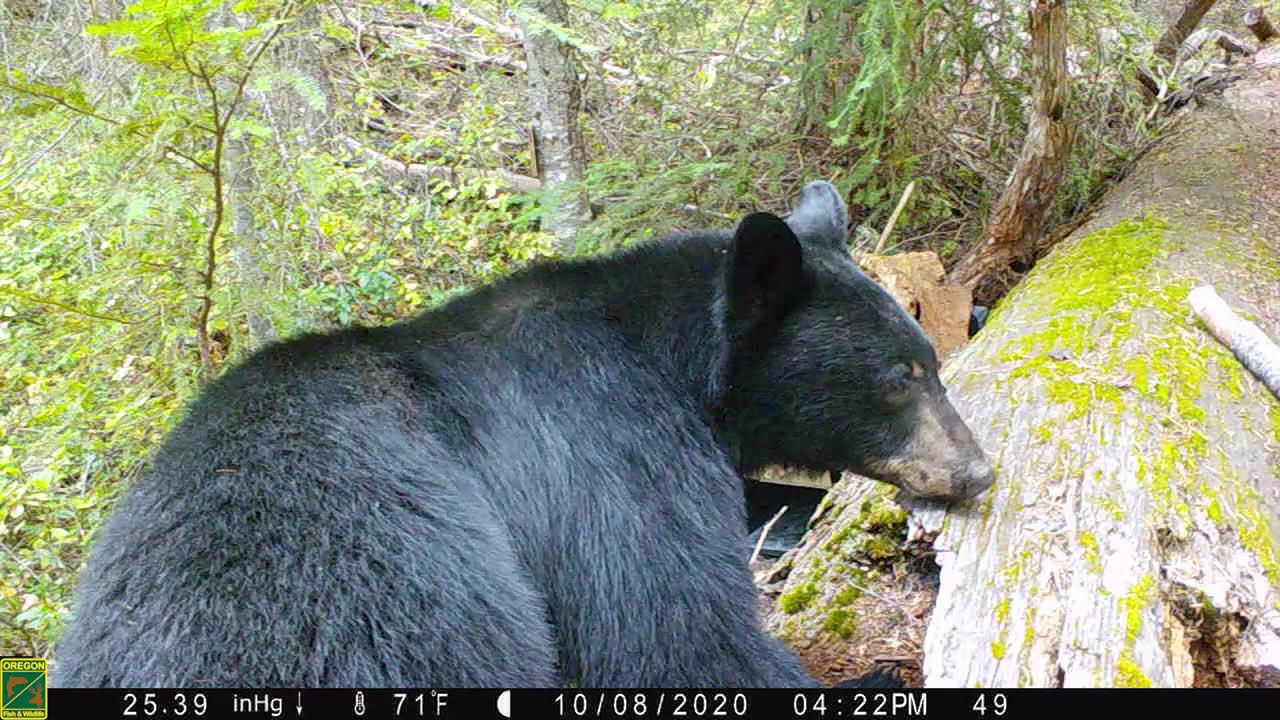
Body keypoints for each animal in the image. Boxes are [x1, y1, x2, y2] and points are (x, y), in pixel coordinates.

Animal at [52, 180, 993, 688]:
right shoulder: (605, 444)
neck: (675, 362)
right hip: (401, 605)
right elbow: (670, 630)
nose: (979, 469)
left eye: (928, 357)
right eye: (901, 376)